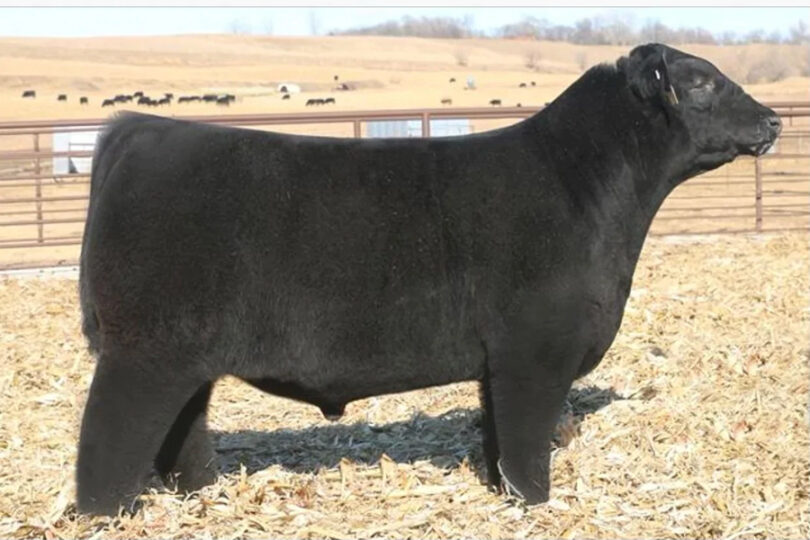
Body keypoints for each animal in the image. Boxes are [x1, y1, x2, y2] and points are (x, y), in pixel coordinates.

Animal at [76, 44, 781, 515]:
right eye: (702, 82)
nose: (775, 120)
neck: (581, 185)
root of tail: (140, 130)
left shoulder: (499, 359)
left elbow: (498, 436)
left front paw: (502, 491)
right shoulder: (533, 352)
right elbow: (526, 438)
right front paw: (536, 503)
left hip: (187, 353)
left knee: (182, 427)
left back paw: (201, 491)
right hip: (145, 352)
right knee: (109, 435)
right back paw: (107, 514)